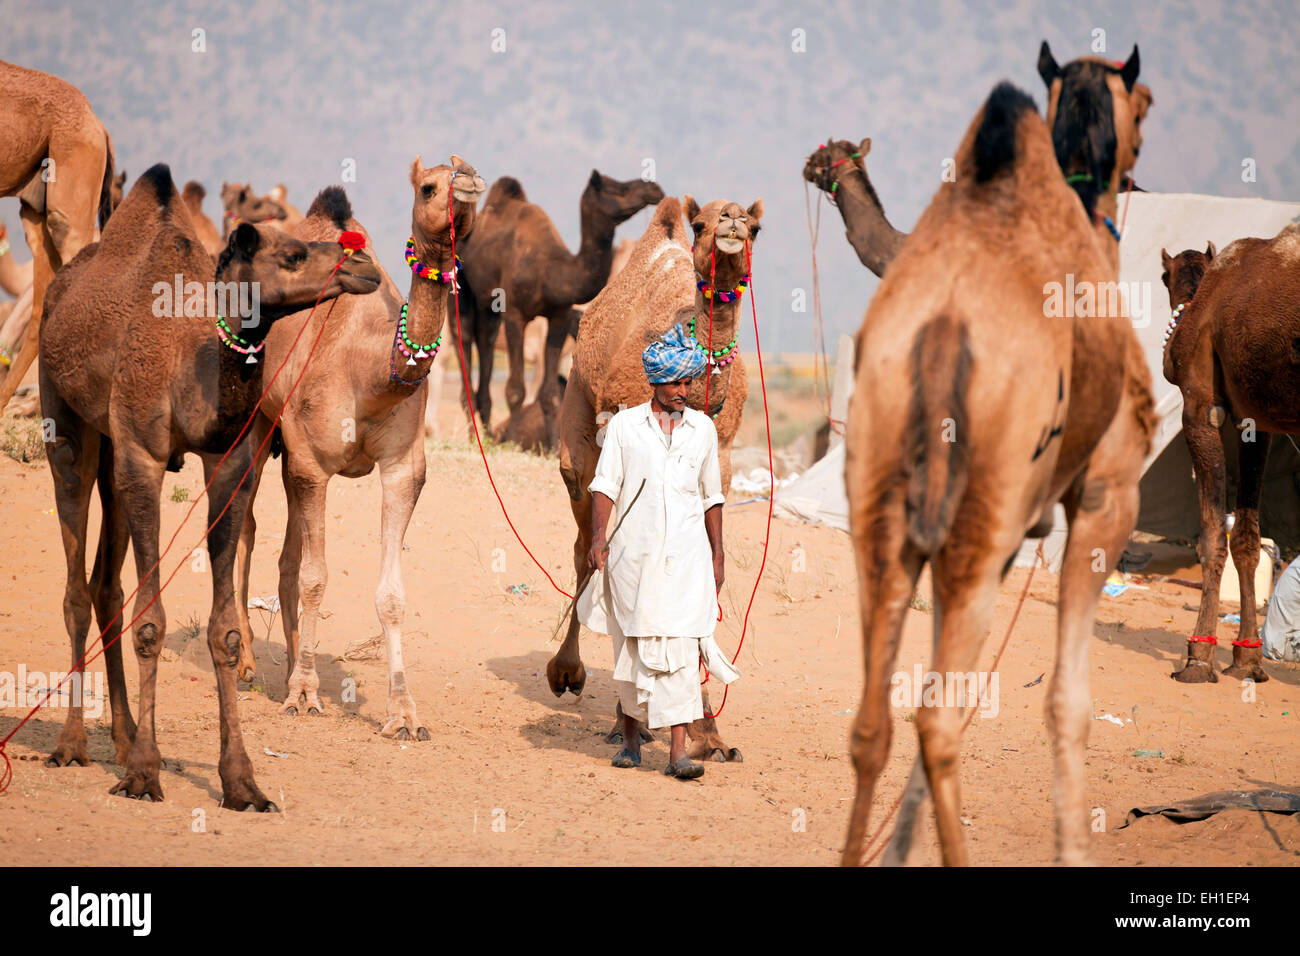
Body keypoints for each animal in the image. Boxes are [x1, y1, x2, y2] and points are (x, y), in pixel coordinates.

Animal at [37, 164, 381, 808]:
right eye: (293, 253)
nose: (364, 264)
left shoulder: (229, 458)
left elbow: (224, 630)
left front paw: (242, 782)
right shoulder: (144, 456)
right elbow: (152, 622)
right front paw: (145, 776)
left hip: (113, 452)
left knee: (104, 587)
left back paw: (123, 738)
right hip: (67, 422)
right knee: (75, 586)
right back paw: (73, 745)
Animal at [235, 156, 486, 739]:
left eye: (470, 170)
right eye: (429, 186)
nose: (468, 182)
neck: (371, 371)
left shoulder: (402, 468)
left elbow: (389, 594)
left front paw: (403, 713)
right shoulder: (311, 460)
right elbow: (315, 578)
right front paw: (305, 695)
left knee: (285, 556)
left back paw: (288, 667)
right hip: (259, 426)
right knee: (244, 528)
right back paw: (247, 666)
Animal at [455, 171, 664, 447]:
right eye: (615, 187)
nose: (654, 188)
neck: (548, 270)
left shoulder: (559, 316)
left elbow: (550, 394)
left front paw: (554, 445)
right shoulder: (514, 314)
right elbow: (516, 390)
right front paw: (513, 441)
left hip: (488, 307)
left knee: (486, 340)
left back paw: (488, 434)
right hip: (461, 287)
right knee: (464, 338)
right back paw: (474, 437)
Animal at [841, 46, 1153, 867]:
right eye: (1142, 103)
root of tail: (943, 329)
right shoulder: (1107, 494)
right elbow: (1068, 703)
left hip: (887, 502)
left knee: (876, 723)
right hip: (983, 523)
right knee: (936, 723)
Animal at [1162, 227, 1300, 684]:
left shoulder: (1199, 405)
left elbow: (1210, 533)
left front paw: (1198, 656)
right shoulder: (1254, 420)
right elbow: (1246, 538)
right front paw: (1247, 660)